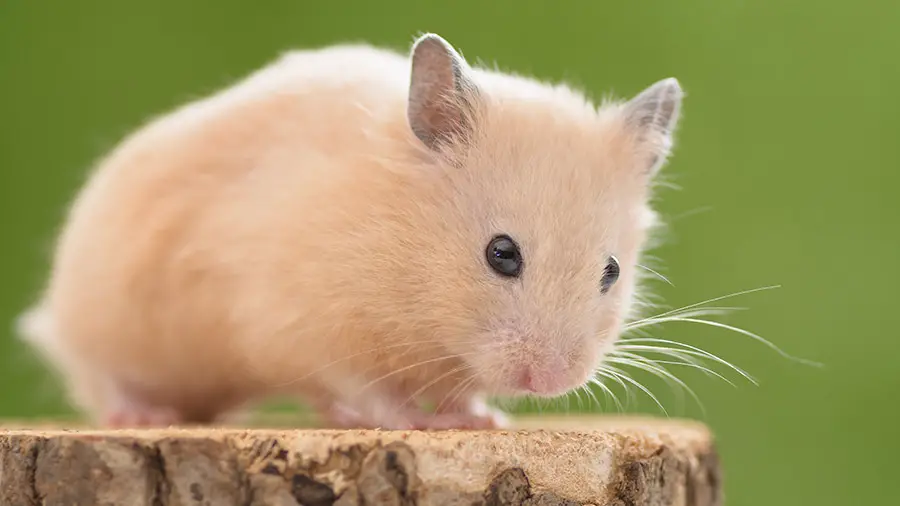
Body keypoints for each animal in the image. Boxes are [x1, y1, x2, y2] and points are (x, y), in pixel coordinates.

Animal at [15, 33, 683, 430]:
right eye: (502, 254)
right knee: (95, 374)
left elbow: (455, 391)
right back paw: (144, 418)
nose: (550, 382)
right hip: (95, 313)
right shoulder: (305, 329)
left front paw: (483, 420)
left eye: (611, 271)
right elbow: (366, 386)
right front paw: (419, 423)